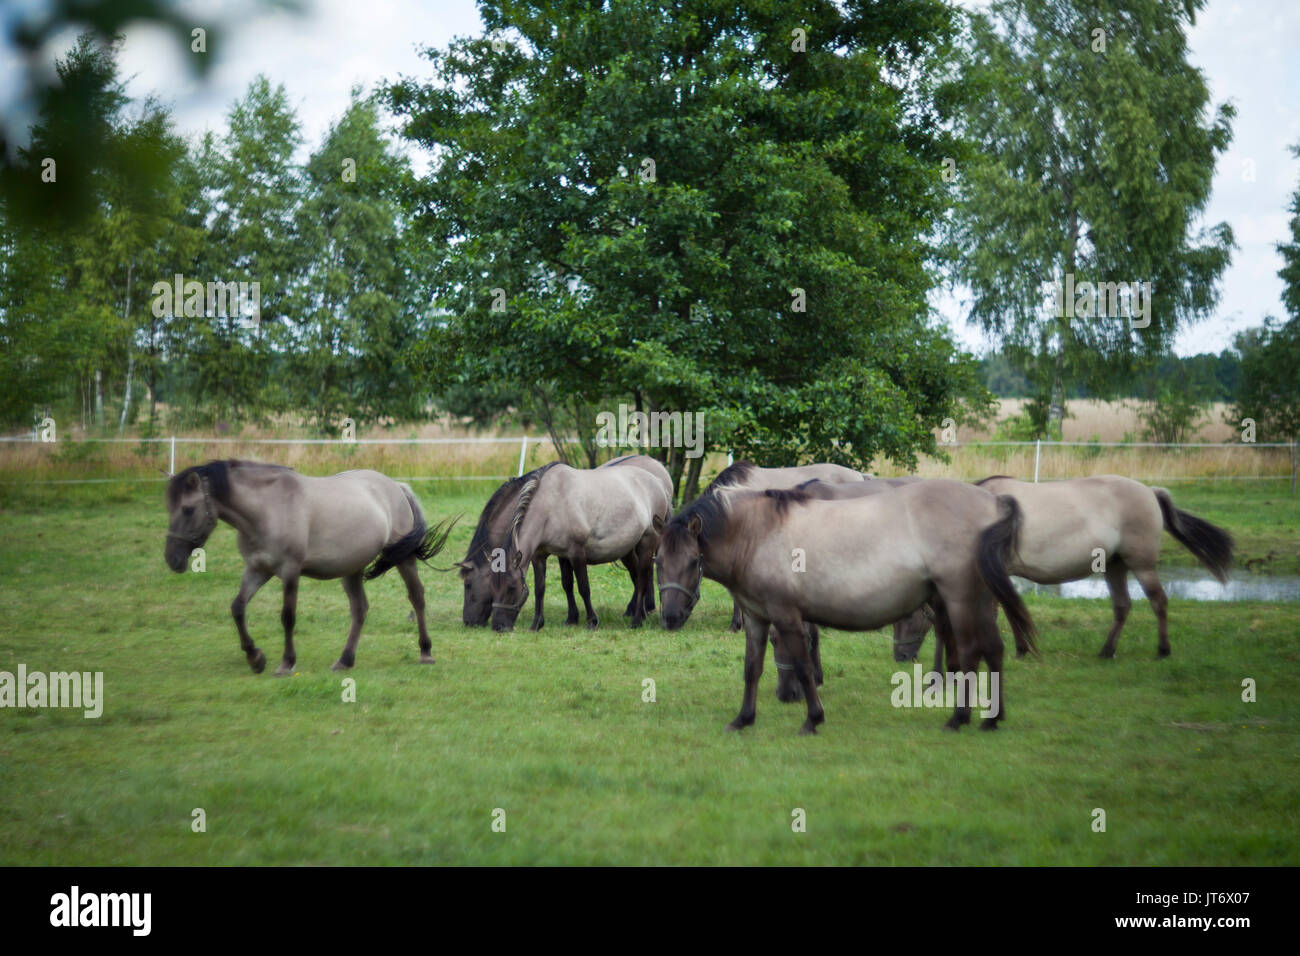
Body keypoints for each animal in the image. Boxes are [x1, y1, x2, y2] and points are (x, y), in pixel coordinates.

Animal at [164, 460, 456, 674]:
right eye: (170, 509)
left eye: (188, 509)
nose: (172, 560)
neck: (268, 508)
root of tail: (396, 486)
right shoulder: (257, 570)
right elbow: (237, 608)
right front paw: (255, 657)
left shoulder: (289, 572)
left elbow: (288, 617)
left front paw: (286, 662)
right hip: (352, 568)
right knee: (359, 609)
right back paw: (345, 660)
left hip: (404, 560)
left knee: (416, 598)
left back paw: (425, 652)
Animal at [458, 455, 671, 630]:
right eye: (493, 587)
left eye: (468, 585)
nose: (498, 626)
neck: (551, 505)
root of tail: (658, 481)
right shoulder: (545, 556)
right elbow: (549, 587)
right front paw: (542, 623)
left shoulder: (577, 553)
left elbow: (583, 587)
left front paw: (591, 621)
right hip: (628, 549)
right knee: (637, 577)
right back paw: (639, 612)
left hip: (645, 544)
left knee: (642, 579)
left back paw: (637, 620)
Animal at [654, 480, 1037, 734]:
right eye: (658, 561)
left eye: (693, 561)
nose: (670, 618)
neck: (756, 533)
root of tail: (993, 502)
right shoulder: (756, 617)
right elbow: (752, 668)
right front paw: (743, 719)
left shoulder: (787, 616)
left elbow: (804, 667)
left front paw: (813, 719)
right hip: (978, 600)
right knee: (994, 650)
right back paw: (992, 719)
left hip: (959, 599)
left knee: (971, 653)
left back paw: (959, 718)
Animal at [904, 475, 1234, 667]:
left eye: (912, 622)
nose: (904, 656)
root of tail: (1151, 492)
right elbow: (1012, 610)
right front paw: (1022, 649)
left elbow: (1004, 611)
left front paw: (1017, 649)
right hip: (1114, 566)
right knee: (1122, 606)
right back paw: (1106, 651)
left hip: (1141, 565)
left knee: (1158, 602)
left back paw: (1163, 650)